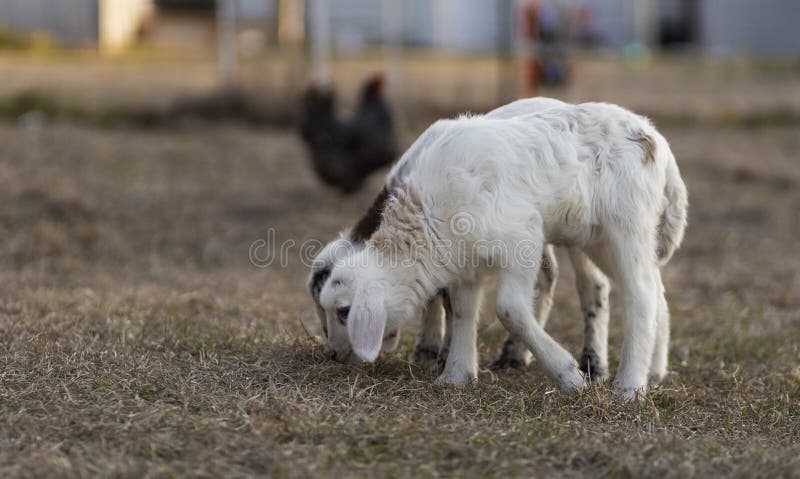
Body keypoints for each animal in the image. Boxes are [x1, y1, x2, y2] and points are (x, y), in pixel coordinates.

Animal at [319, 102, 688, 397]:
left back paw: (629, 387)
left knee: (640, 294)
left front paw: (569, 376)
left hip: (626, 224)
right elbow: (463, 310)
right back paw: (654, 370)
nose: (333, 355)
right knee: (655, 290)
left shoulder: (522, 239)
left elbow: (510, 310)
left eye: (344, 311)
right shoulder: (463, 262)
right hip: (599, 239)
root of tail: (654, 138)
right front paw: (456, 375)